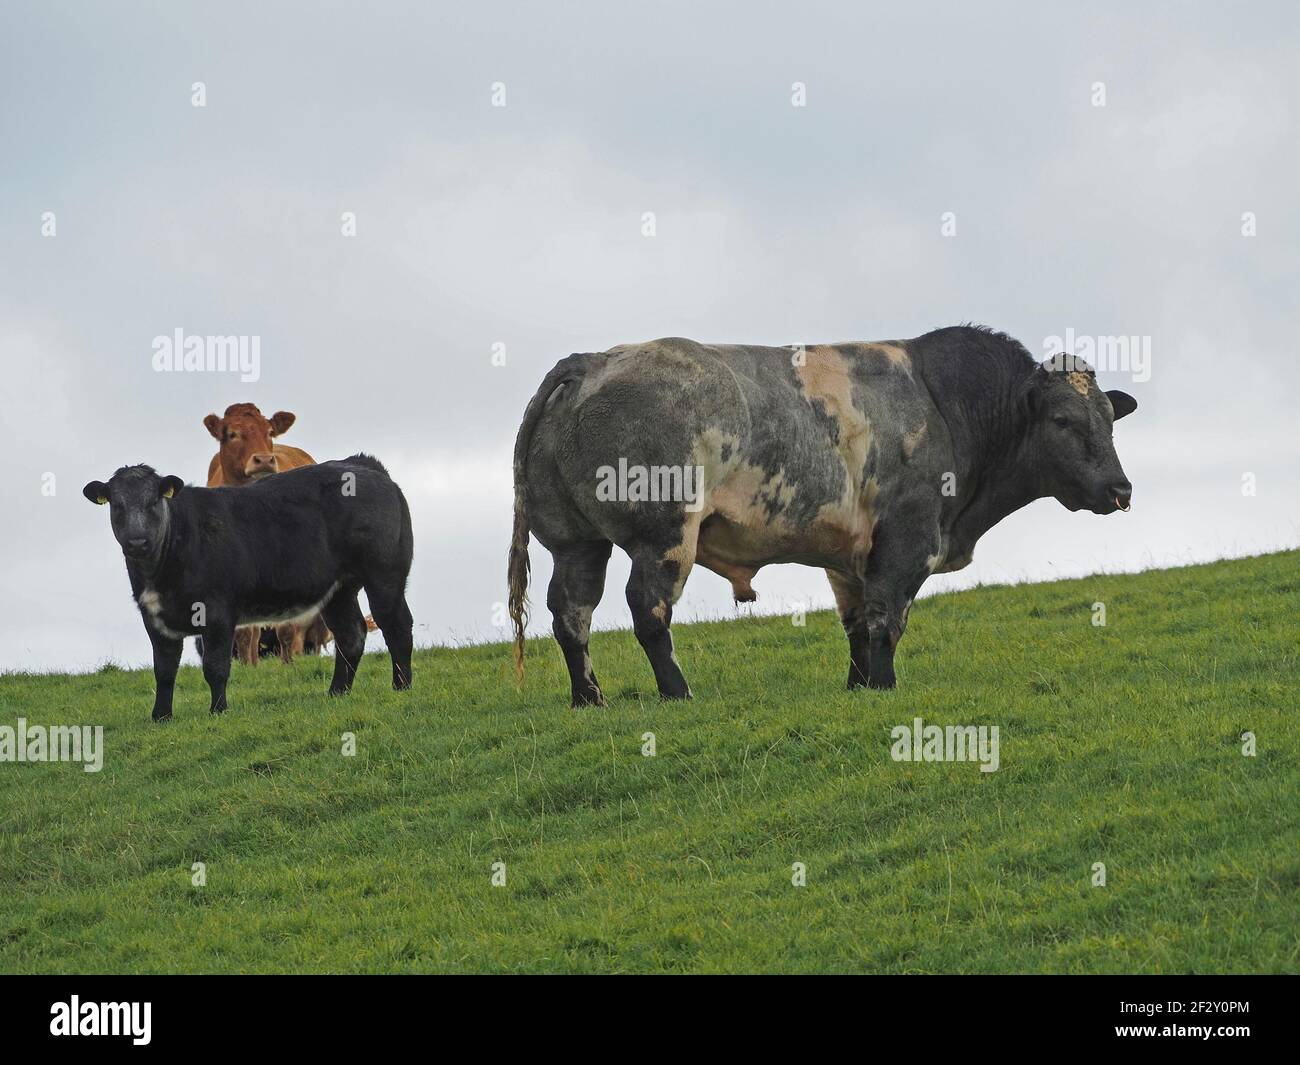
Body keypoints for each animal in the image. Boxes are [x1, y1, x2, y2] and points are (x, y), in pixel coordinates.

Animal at [84, 455, 414, 721]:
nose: (137, 542)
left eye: (153, 502)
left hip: (384, 573)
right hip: (339, 589)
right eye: (118, 506)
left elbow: (215, 667)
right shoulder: (153, 618)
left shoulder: (217, 611)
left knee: (396, 625)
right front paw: (161, 717)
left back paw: (402, 687)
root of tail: (364, 465)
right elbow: (164, 671)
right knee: (351, 634)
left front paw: (218, 711)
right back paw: (336, 693)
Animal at [202, 402, 331, 664]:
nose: (263, 460)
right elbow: (245, 632)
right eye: (232, 434)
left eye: (269, 431)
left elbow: (287, 627)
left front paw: (288, 665)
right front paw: (247, 666)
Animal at [508, 326, 1137, 706]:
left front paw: (860, 687)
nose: (1120, 488)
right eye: (1062, 420)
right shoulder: (905, 540)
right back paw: (677, 691)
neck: (948, 407)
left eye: (1110, 418)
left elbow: (857, 623)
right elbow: (887, 619)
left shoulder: (848, 554)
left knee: (571, 612)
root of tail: (591, 362)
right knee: (648, 609)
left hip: (575, 541)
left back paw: (589, 698)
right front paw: (885, 686)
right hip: (661, 534)